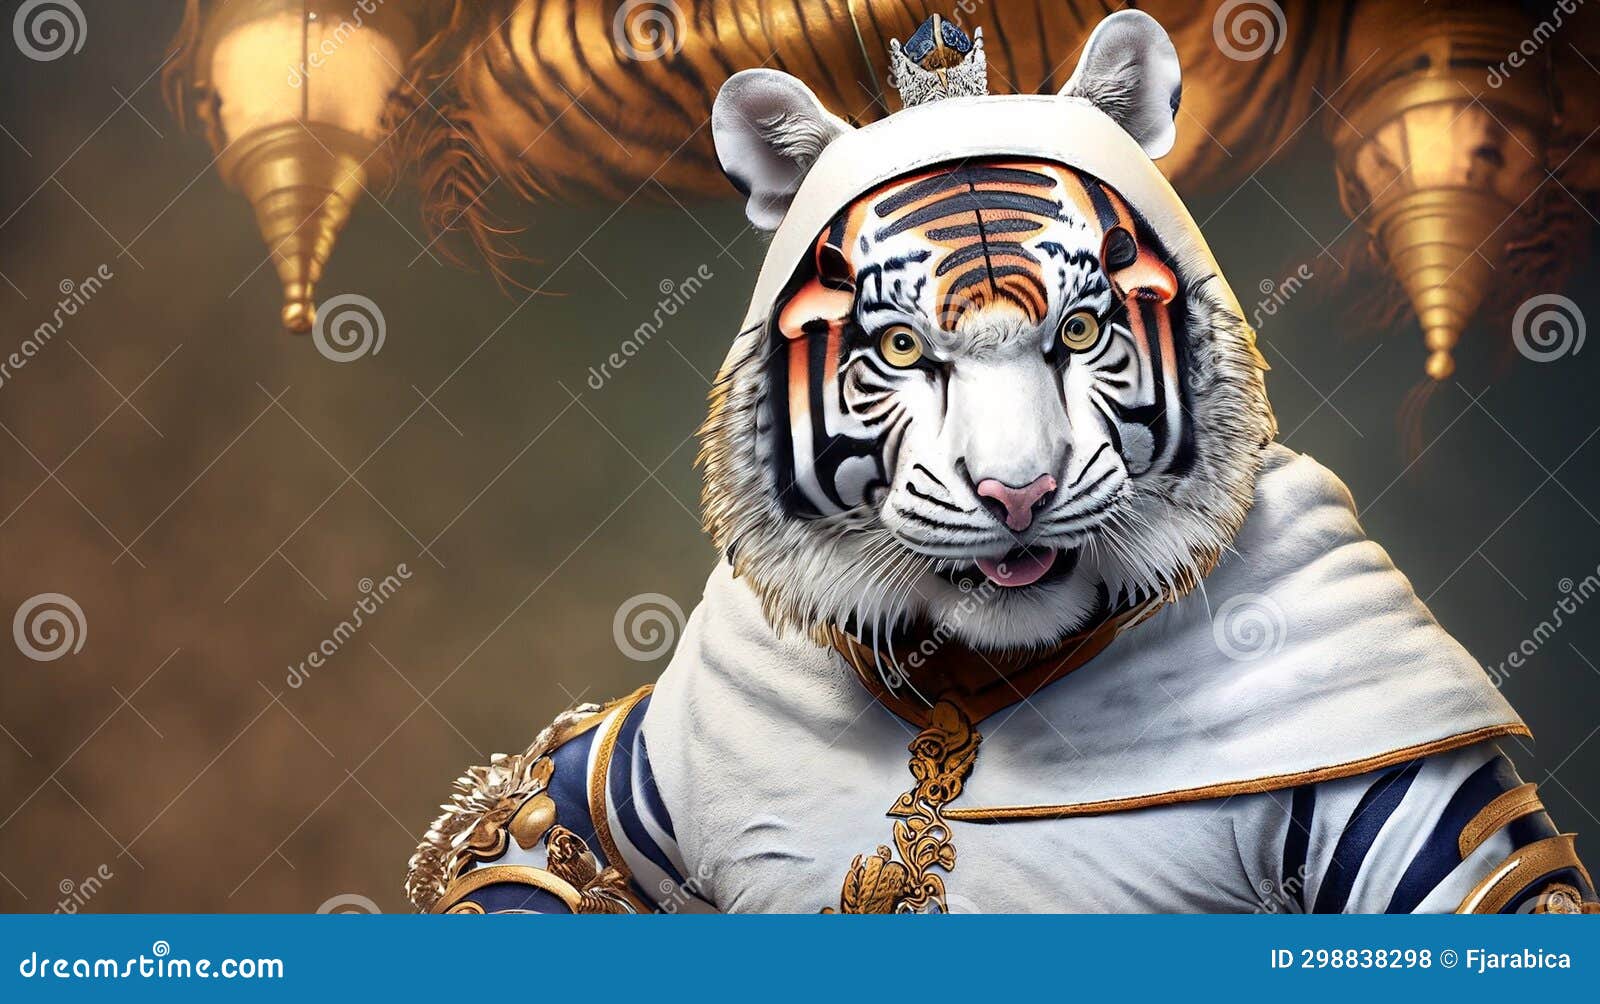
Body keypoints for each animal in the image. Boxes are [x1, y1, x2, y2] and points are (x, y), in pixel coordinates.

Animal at [408, 10, 1594, 915]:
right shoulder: (649, 746)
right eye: (898, 348)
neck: (963, 695)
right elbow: (514, 822)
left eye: (1081, 330)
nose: (1016, 493)